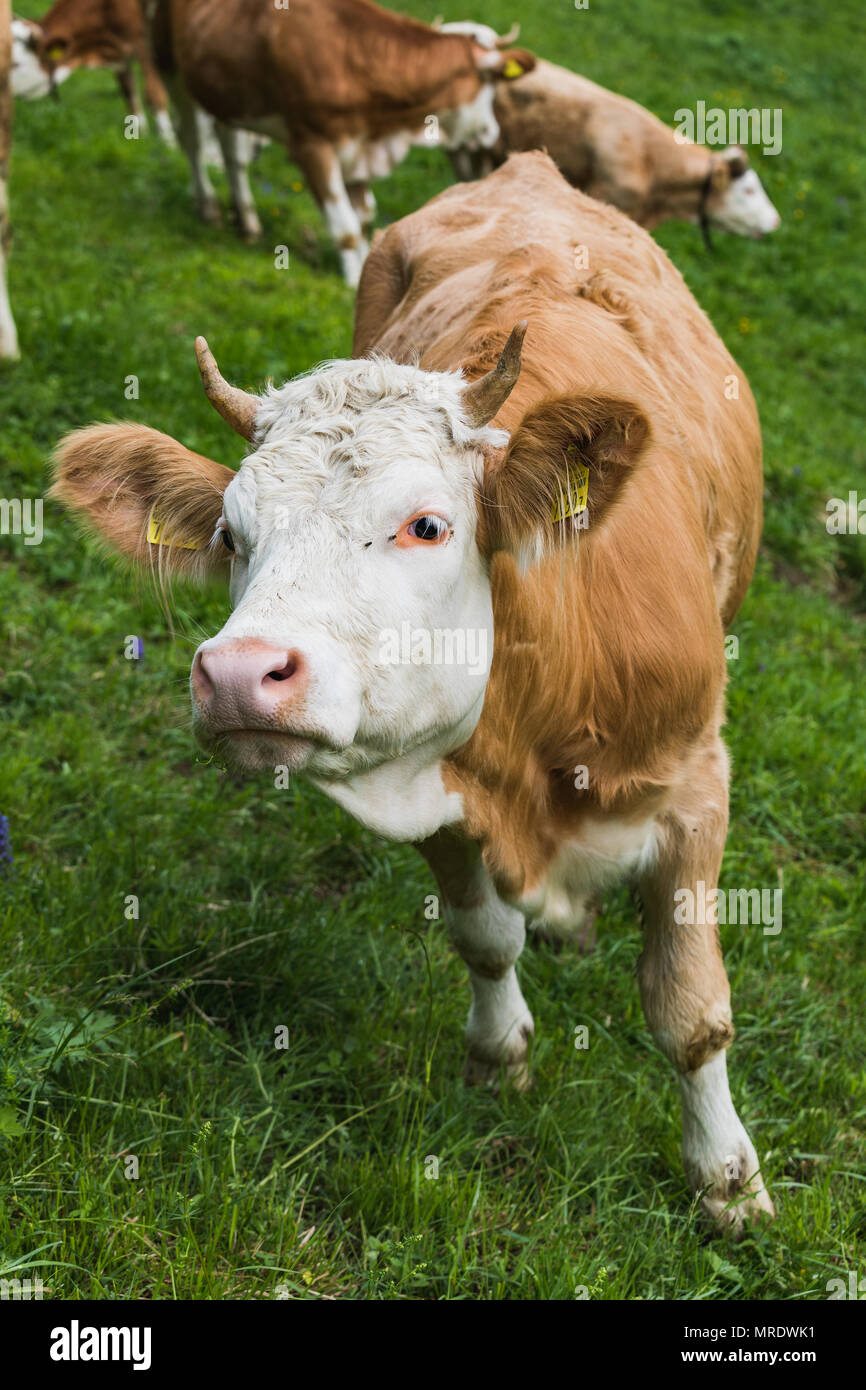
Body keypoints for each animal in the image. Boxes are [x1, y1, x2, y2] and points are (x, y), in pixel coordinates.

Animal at [12, 0, 174, 142]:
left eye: (15, 64)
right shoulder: (121, 58)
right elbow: (130, 96)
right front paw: (141, 138)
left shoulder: (145, 47)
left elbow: (154, 96)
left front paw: (168, 145)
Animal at [52, 151, 775, 1232]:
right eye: (229, 535)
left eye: (427, 525)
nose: (239, 673)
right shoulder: (428, 773)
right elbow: (482, 937)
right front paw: (497, 1058)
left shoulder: (695, 784)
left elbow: (689, 1012)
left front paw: (726, 1181)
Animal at [145, 0, 534, 284]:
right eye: (491, 85)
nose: (492, 132)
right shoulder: (312, 146)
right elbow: (345, 226)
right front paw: (350, 282)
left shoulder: (359, 149)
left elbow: (362, 220)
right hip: (169, 63)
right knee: (193, 143)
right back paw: (208, 205)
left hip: (229, 94)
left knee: (231, 153)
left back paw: (247, 218)